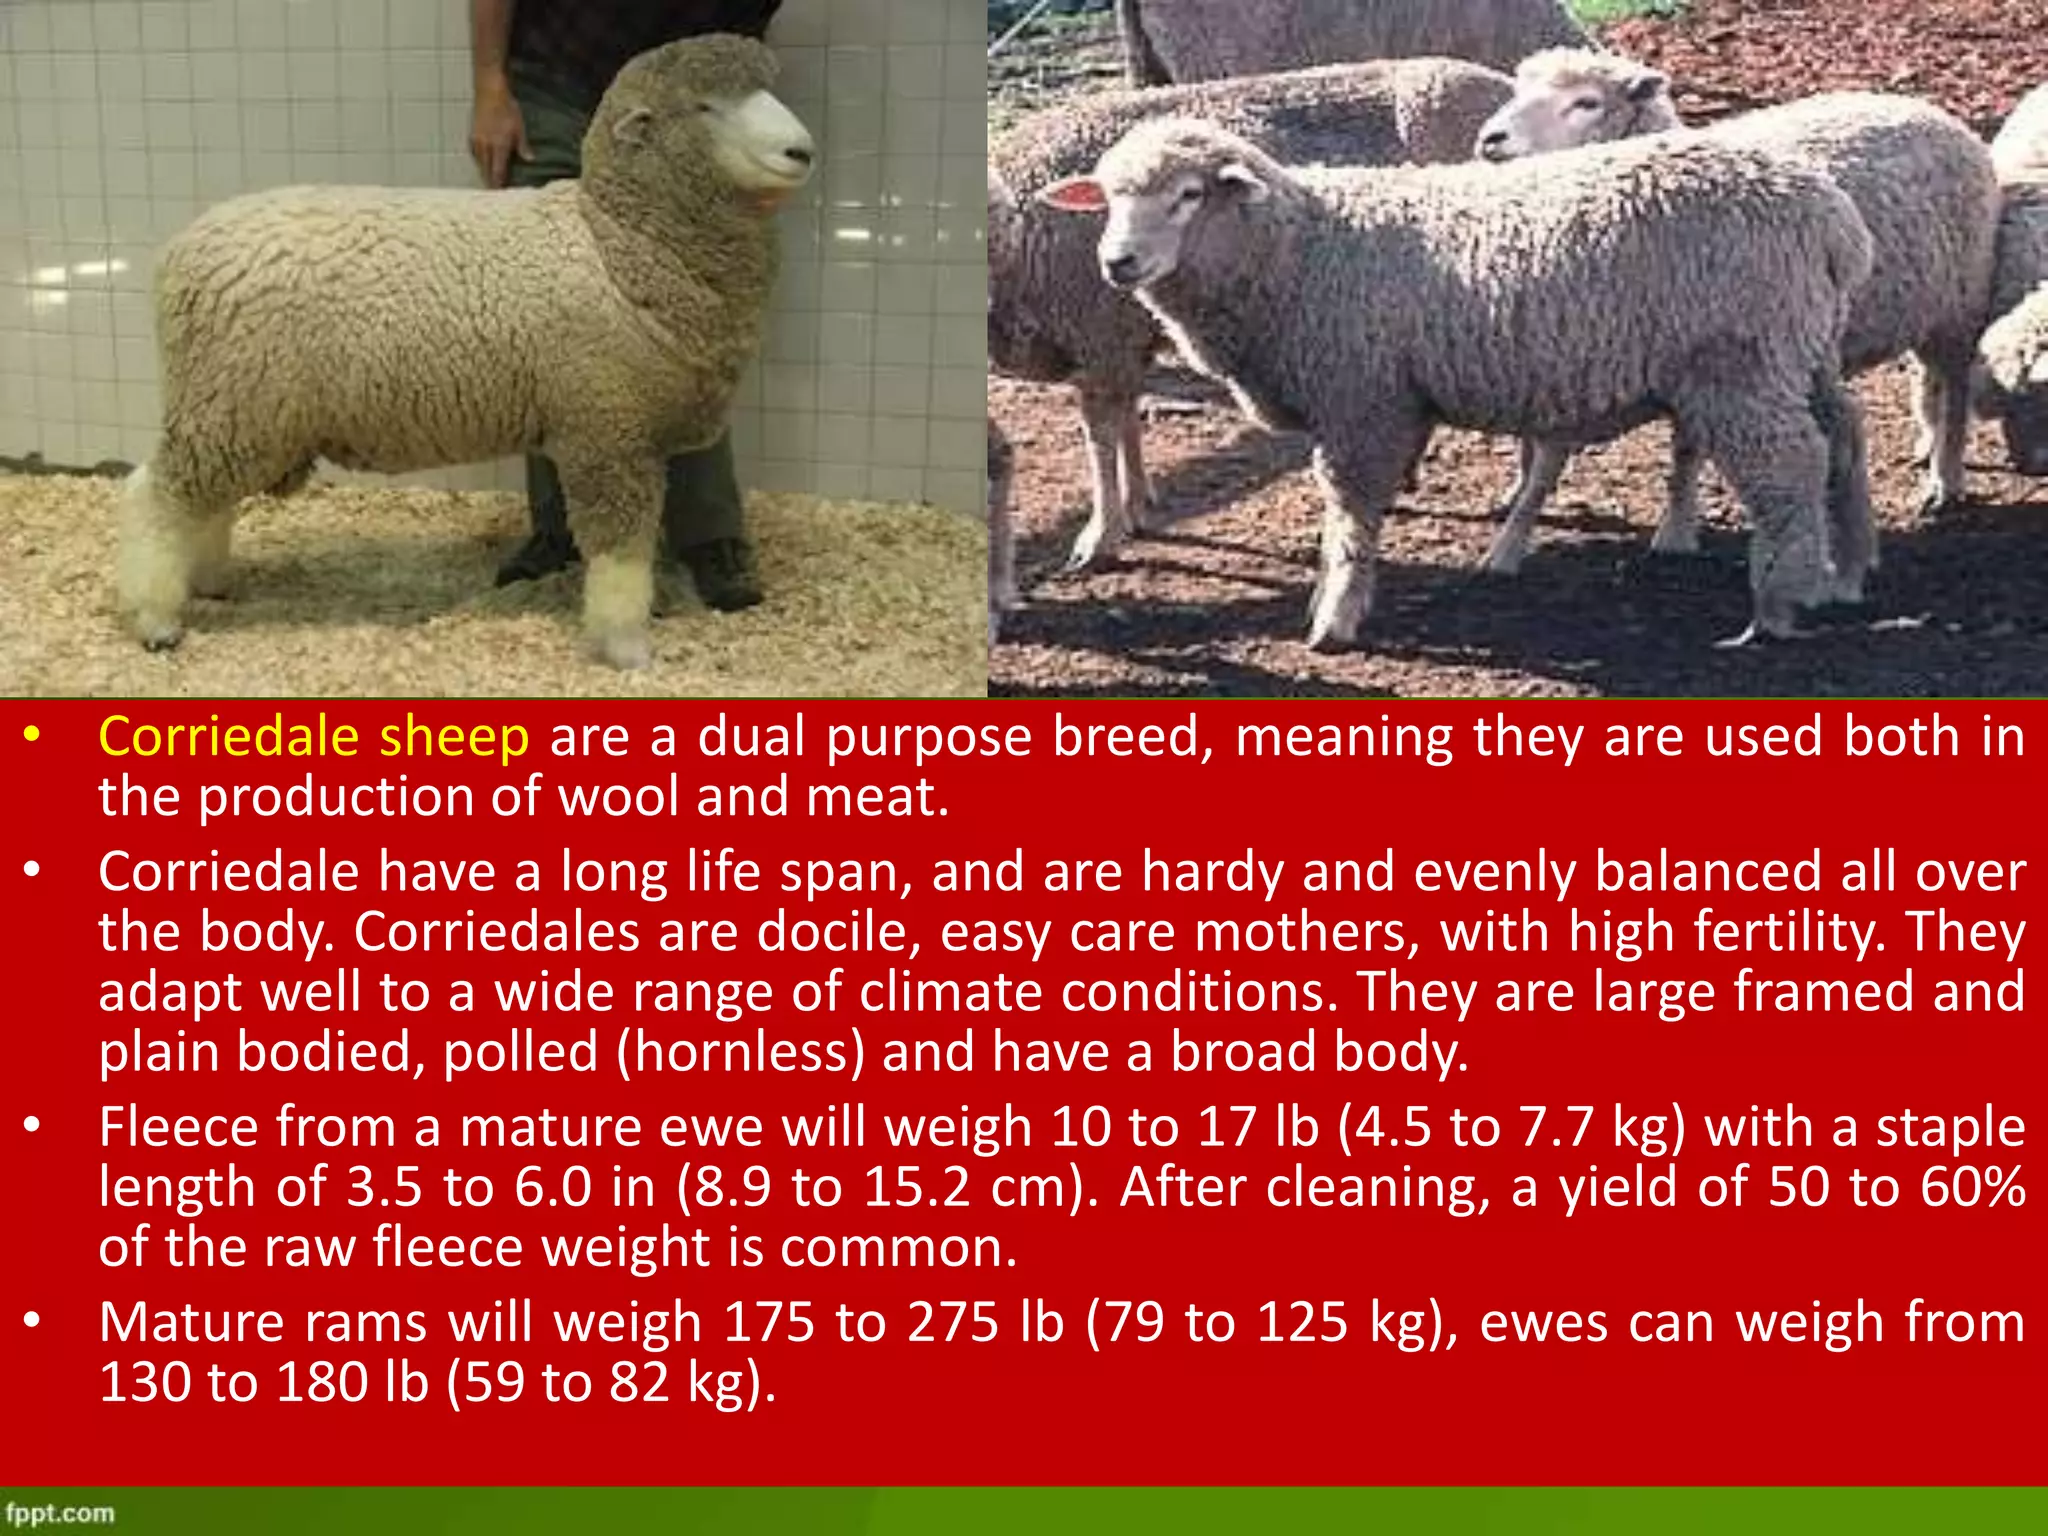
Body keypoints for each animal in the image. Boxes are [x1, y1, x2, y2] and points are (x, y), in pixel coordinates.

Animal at [115, 35, 814, 670]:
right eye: (704, 106)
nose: (802, 150)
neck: (616, 241)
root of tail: (178, 252)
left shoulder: (617, 428)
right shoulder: (608, 433)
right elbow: (619, 556)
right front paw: (625, 647)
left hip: (241, 410)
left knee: (205, 502)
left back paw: (207, 581)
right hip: (234, 401)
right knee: (160, 496)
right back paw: (155, 619)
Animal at [992, 57, 1515, 571]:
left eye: (1188, 196)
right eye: (1107, 197)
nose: (1116, 262)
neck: (1018, 236)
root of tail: (1503, 84)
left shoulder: (1099, 336)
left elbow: (1100, 439)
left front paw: (1100, 535)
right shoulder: (1120, 339)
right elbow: (1126, 424)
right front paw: (1138, 504)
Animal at [1044, 118, 1876, 649]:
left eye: (1187, 194)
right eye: (1108, 198)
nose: (1117, 262)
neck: (1301, 249)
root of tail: (1830, 217)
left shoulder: (1362, 400)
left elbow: (1349, 511)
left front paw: (1336, 617)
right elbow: (1343, 516)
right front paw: (1330, 593)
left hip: (1741, 364)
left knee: (1791, 466)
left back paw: (1779, 604)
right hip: (1800, 349)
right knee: (1843, 437)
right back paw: (1844, 571)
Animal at [1473, 50, 2001, 575]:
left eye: (1587, 102)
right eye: (1519, 90)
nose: (1491, 140)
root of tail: (1930, 109)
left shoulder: (1698, 346)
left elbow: (1685, 448)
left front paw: (1675, 529)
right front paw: (1515, 490)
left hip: (1959, 304)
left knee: (1956, 389)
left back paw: (1945, 478)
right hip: (1920, 308)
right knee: (1929, 375)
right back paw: (1927, 444)